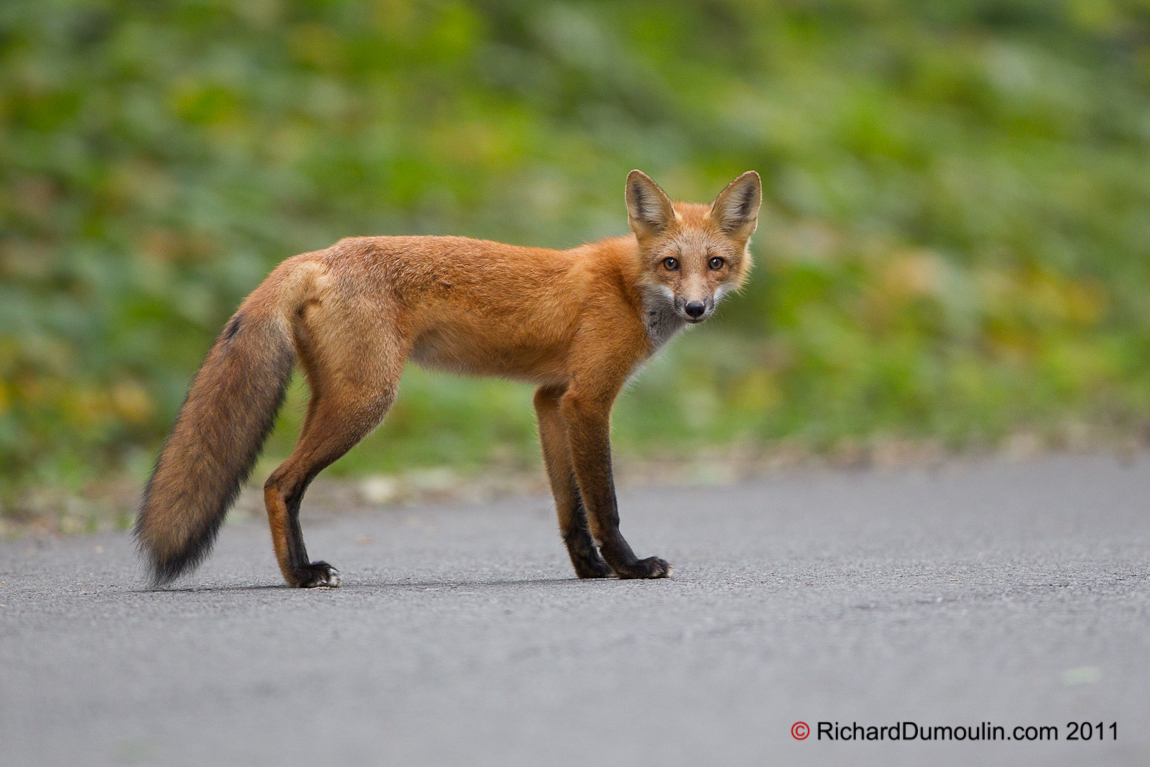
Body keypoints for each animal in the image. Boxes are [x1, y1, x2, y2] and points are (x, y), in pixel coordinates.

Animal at [135, 169, 761, 588]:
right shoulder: (587, 399)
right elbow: (603, 503)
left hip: (336, 396)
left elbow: (569, 509)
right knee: (276, 482)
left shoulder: (551, 398)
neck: (629, 285)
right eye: (671, 264)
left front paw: (589, 568)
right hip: (366, 402)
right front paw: (629, 566)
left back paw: (300, 570)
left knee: (280, 483)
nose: (696, 309)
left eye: (716, 264)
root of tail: (317, 254)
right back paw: (302, 575)